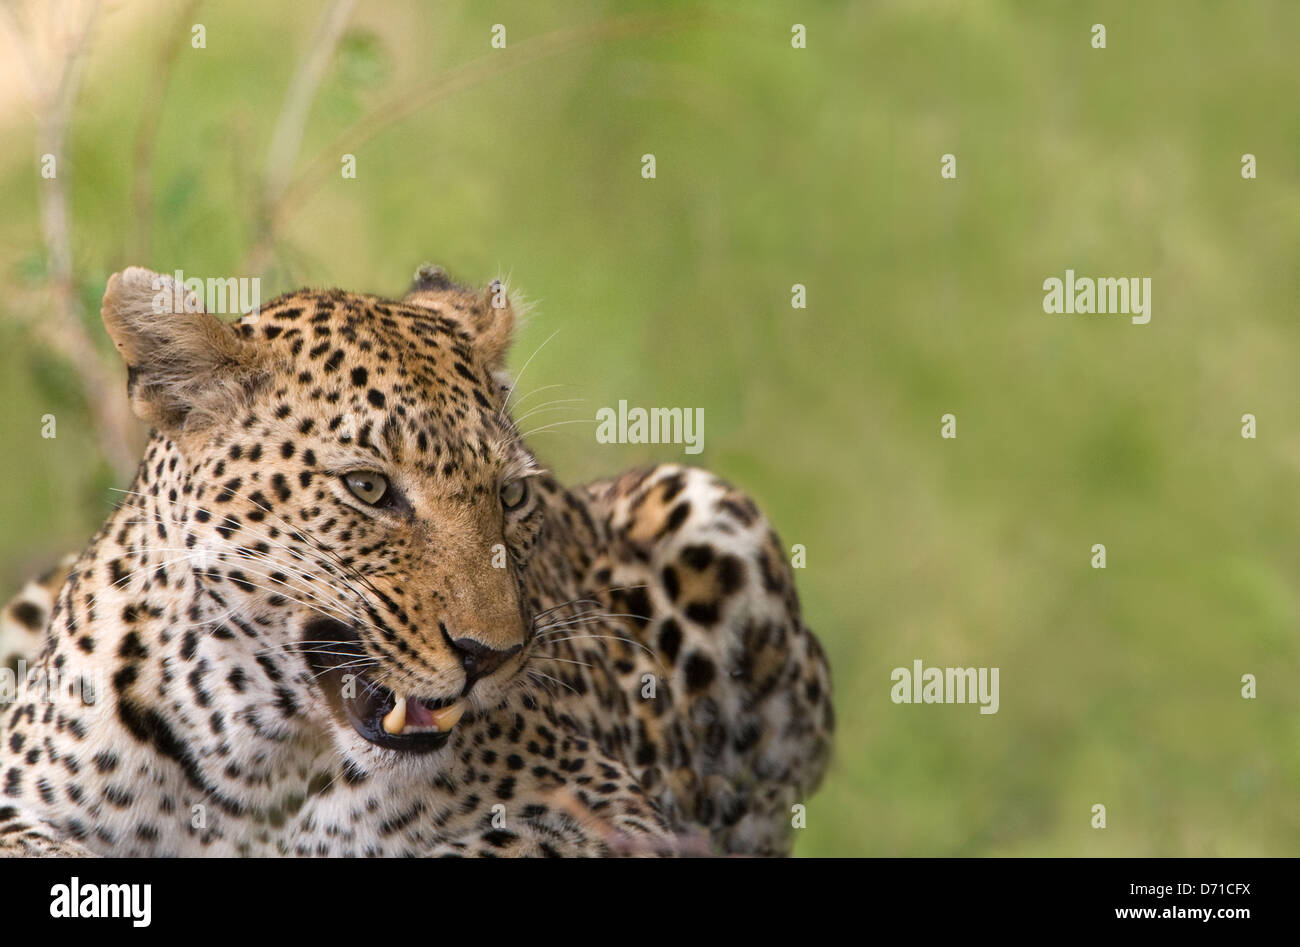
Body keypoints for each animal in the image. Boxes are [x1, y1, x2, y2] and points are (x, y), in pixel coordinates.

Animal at [0, 263, 833, 857]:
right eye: (369, 487)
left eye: (510, 495)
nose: (491, 655)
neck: (258, 764)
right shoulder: (23, 799)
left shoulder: (608, 811)